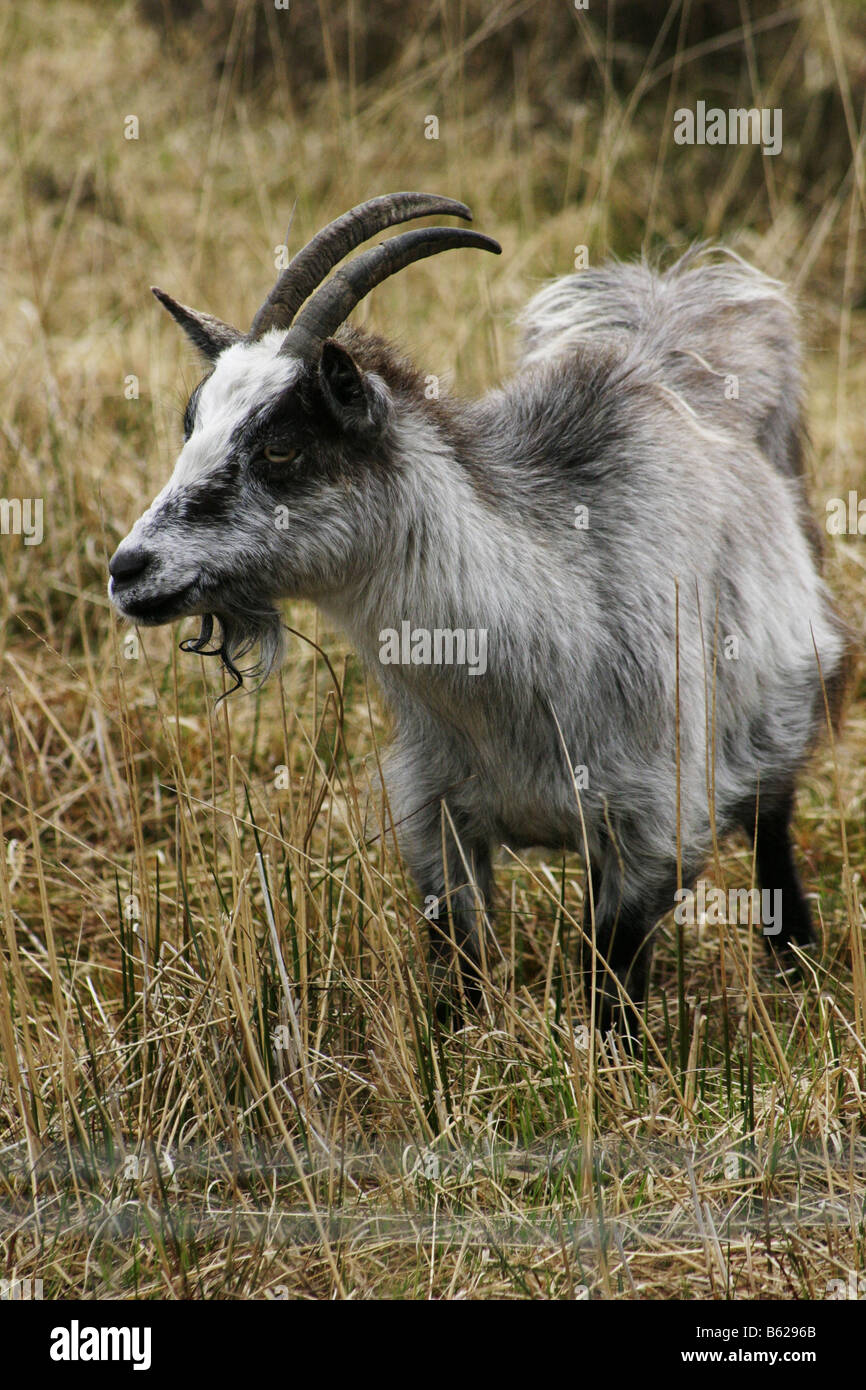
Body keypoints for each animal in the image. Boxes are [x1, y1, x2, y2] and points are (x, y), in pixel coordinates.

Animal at [109, 192, 854, 1038]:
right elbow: (458, 974)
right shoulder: (436, 820)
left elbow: (611, 988)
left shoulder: (655, 832)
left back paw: (794, 968)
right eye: (190, 425)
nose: (129, 570)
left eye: (281, 449)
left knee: (772, 835)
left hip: (779, 727)